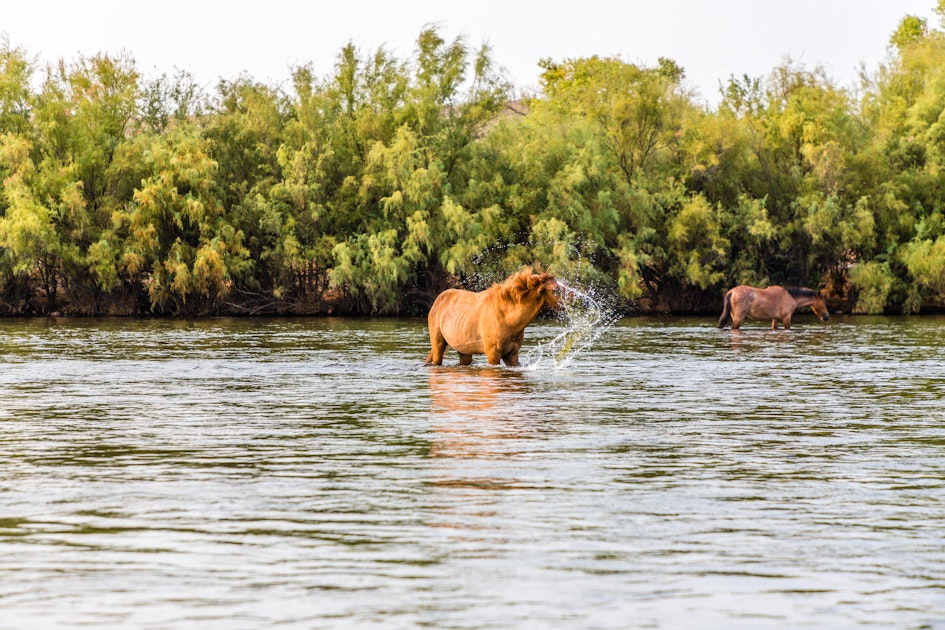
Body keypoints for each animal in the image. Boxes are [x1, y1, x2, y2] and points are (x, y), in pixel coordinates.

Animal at [425, 267, 563, 366]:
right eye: (556, 290)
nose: (569, 301)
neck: (508, 319)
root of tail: (437, 301)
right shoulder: (493, 353)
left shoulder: (512, 354)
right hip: (438, 344)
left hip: (464, 351)